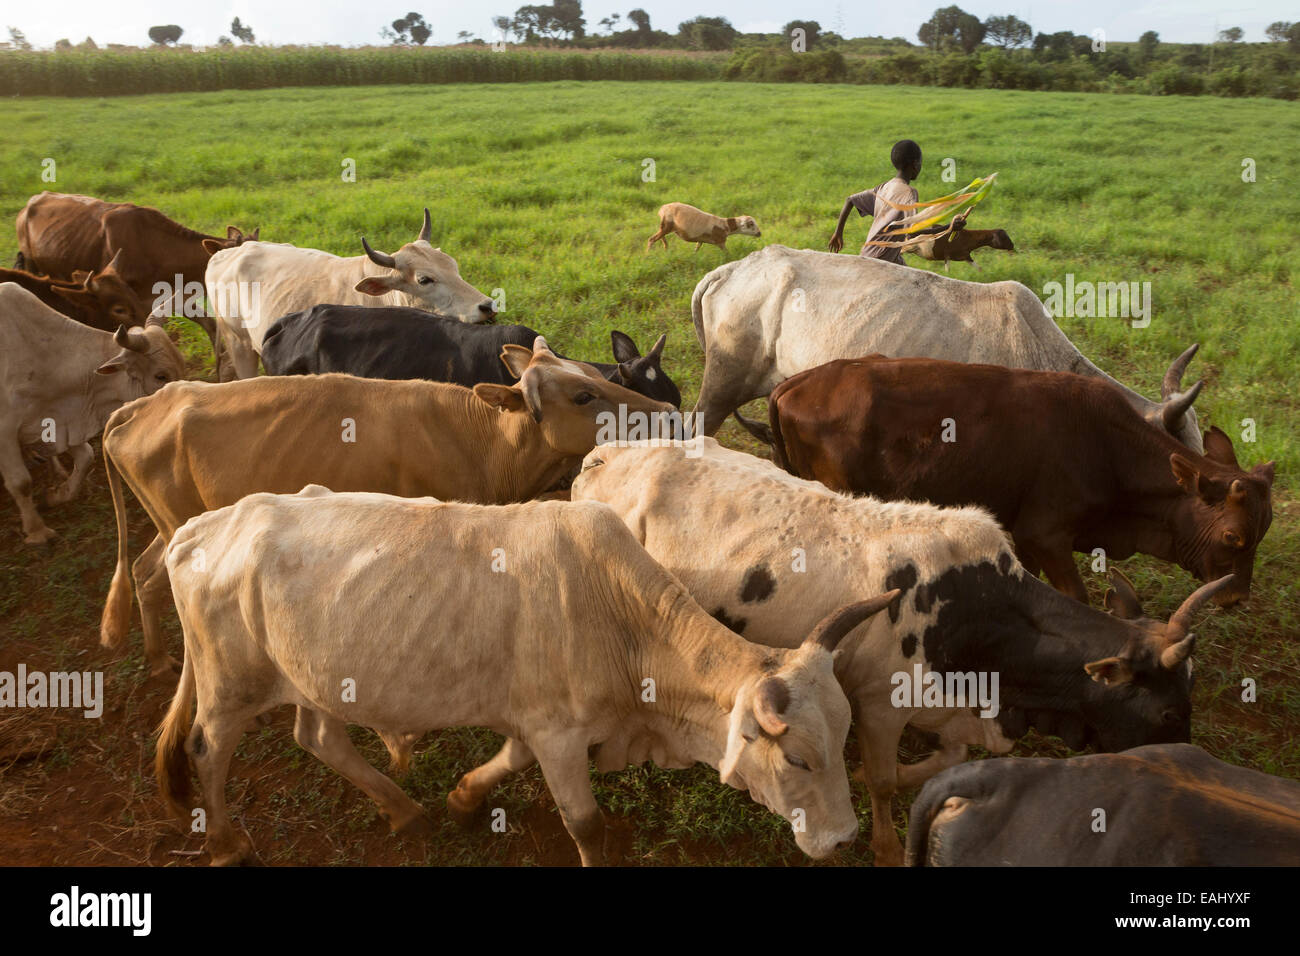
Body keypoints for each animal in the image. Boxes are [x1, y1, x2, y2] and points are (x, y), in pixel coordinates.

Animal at [0, 283, 185, 543]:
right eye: (161, 376)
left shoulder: (57, 422)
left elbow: (86, 456)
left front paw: (56, 495)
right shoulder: (6, 433)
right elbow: (21, 482)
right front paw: (37, 531)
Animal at [98, 337, 676, 675]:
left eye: (596, 374)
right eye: (582, 396)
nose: (667, 412)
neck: (485, 441)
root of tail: (143, 405)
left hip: (169, 526)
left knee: (143, 572)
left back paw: (156, 655)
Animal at [158, 487, 895, 865]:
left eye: (846, 738)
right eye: (797, 759)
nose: (844, 839)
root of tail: (204, 527)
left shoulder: (534, 722)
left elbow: (505, 761)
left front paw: (462, 800)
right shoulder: (560, 734)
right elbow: (586, 824)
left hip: (313, 677)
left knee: (319, 738)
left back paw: (404, 811)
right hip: (229, 684)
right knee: (206, 750)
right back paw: (224, 843)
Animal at [569, 438, 1230, 865]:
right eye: (1169, 711)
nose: (1187, 766)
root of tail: (606, 456)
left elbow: (945, 759)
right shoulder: (882, 705)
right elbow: (886, 783)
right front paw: (884, 840)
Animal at [767, 356, 1274, 608]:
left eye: (1261, 532)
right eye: (1233, 536)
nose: (1236, 600)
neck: (1109, 448)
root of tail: (797, 384)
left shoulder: (1025, 539)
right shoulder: (1045, 535)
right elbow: (1075, 597)